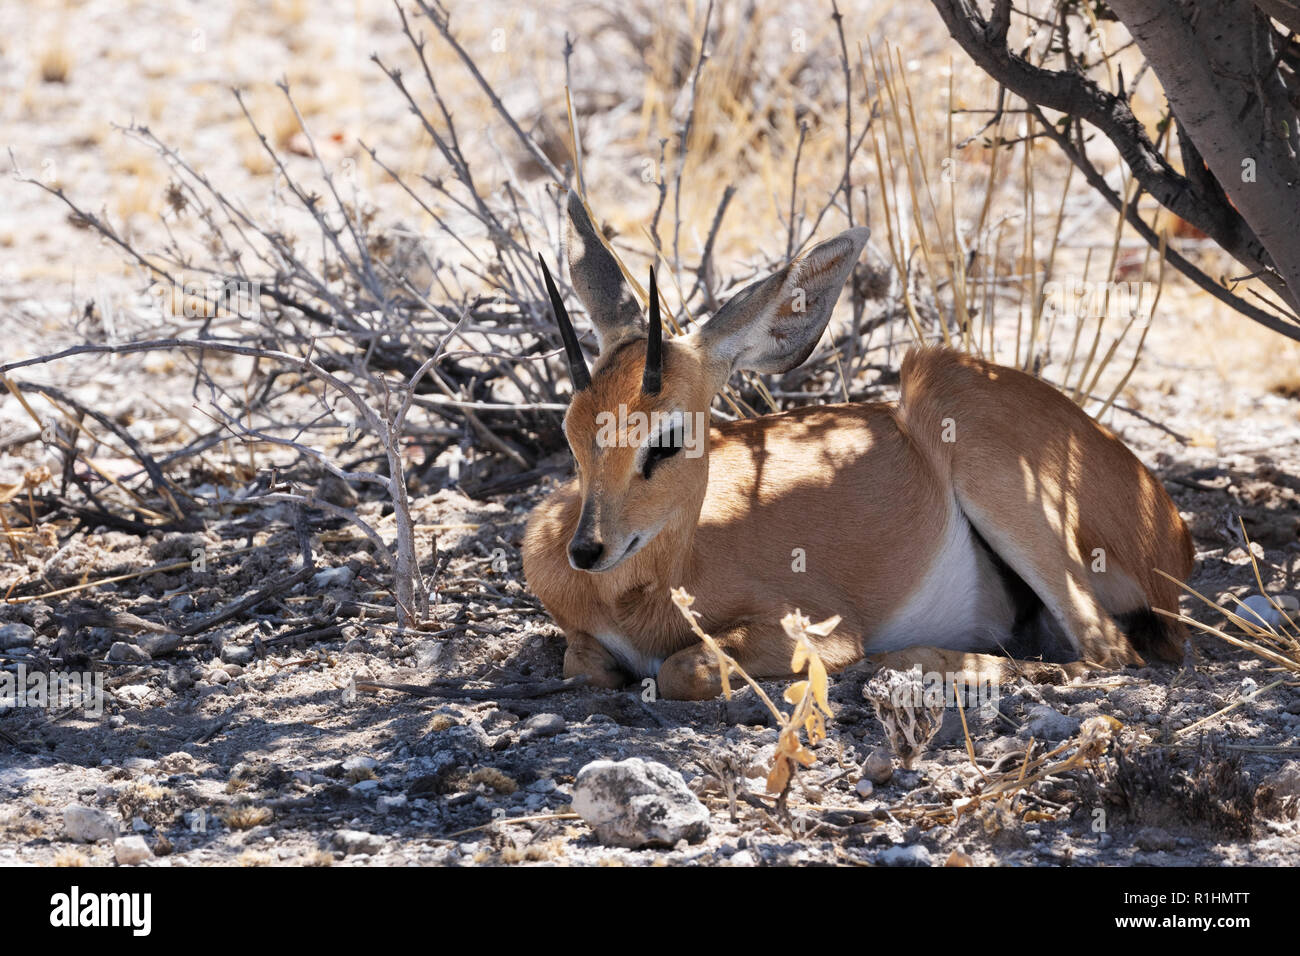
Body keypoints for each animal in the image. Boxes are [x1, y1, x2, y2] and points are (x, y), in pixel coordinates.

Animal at [522, 189, 1194, 701]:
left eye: (666, 439)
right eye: (574, 431)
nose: (587, 549)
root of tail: (1171, 529)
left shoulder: (814, 630)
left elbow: (681, 666)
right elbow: (584, 663)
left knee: (1110, 651)